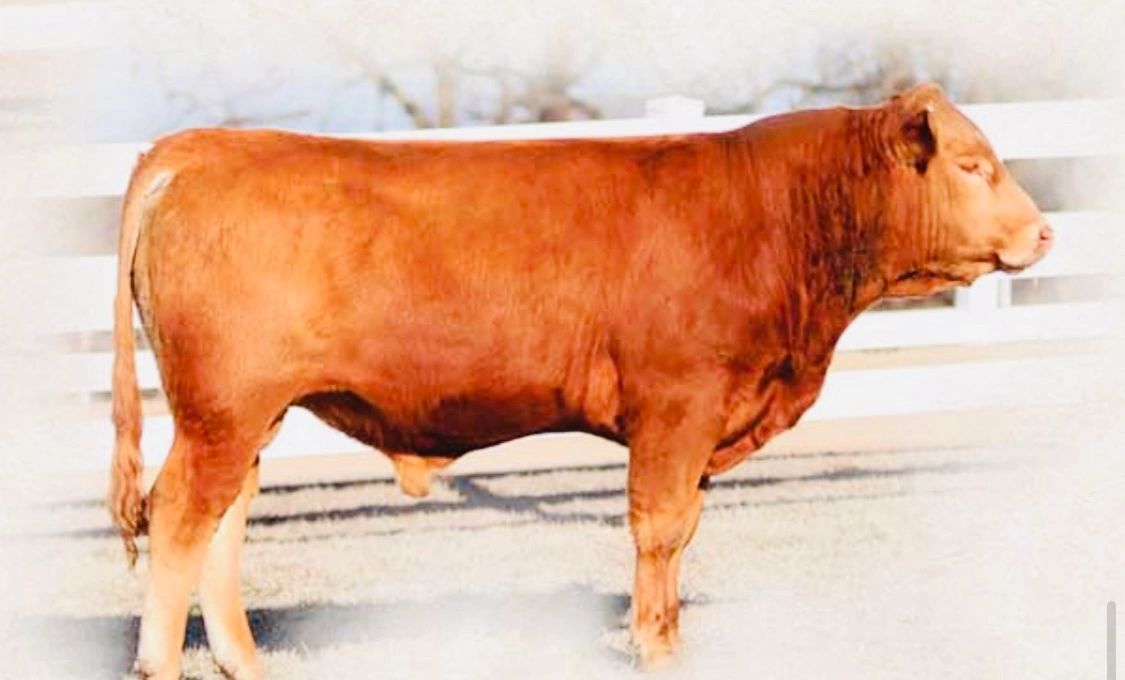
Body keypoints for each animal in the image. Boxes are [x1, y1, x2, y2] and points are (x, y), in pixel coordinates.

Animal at [107, 83, 1051, 678]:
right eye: (971, 166)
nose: (1043, 233)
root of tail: (205, 146)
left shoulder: (702, 426)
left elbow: (681, 535)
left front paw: (667, 639)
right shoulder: (677, 410)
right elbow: (658, 531)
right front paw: (655, 649)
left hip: (245, 418)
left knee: (223, 521)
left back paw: (244, 662)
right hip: (222, 412)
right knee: (181, 519)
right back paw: (161, 665)